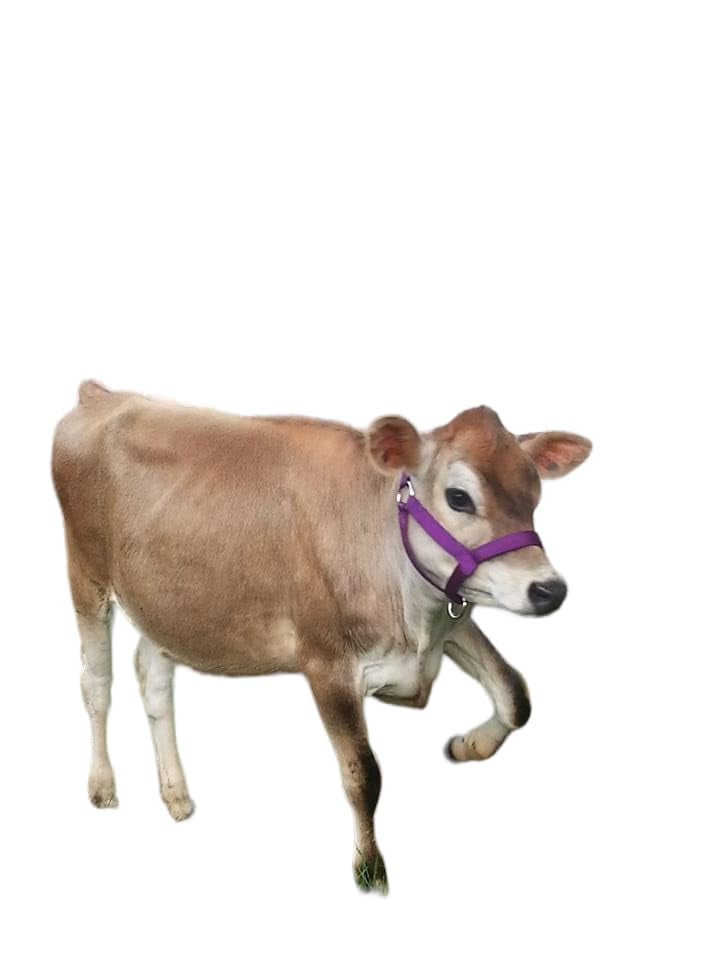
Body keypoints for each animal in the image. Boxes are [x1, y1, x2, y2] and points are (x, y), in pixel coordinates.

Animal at [52, 380, 592, 893]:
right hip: (87, 575)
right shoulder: (328, 666)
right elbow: (363, 775)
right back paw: (103, 784)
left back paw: (176, 794)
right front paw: (370, 871)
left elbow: (515, 693)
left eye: (535, 493)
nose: (548, 589)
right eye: (459, 497)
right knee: (96, 683)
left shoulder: (452, 622)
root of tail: (102, 395)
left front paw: (470, 746)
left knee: (154, 679)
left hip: (168, 605)